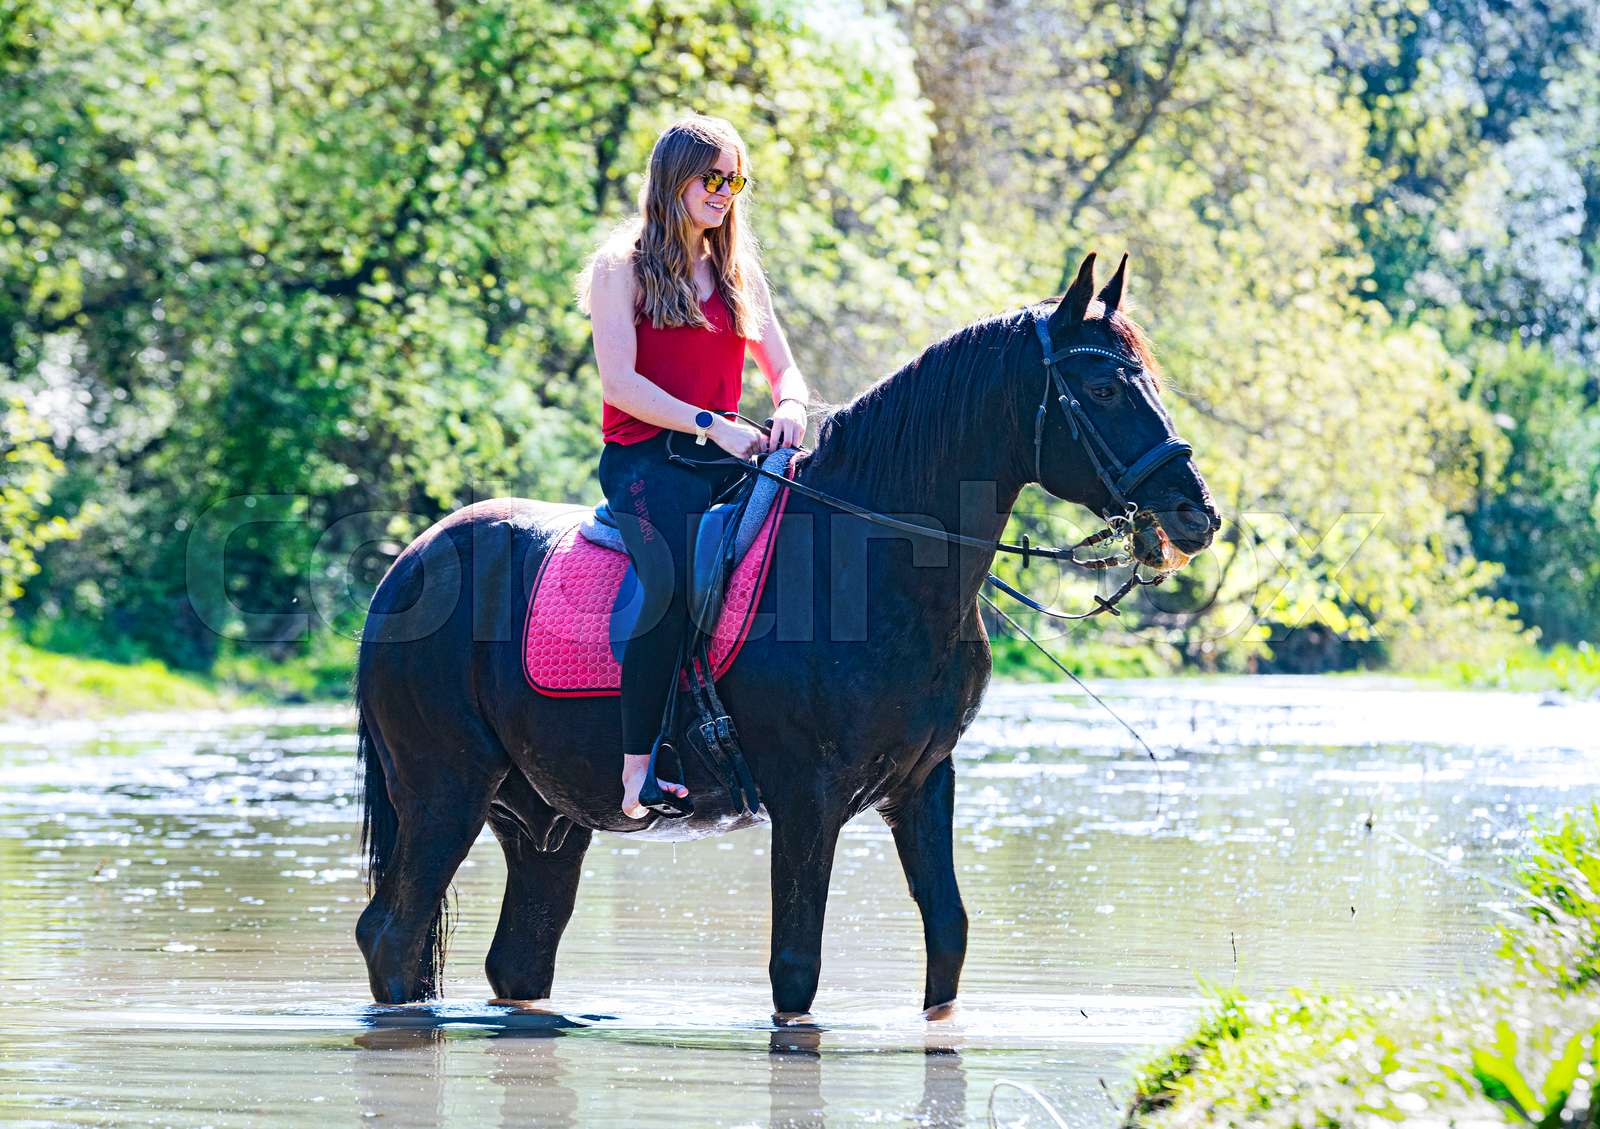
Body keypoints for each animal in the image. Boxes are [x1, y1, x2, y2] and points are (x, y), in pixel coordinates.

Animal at [352, 252, 1220, 1018]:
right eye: (1103, 386)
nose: (1196, 513)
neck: (871, 561)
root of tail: (407, 567)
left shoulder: (923, 783)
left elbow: (948, 938)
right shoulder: (808, 796)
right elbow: (795, 966)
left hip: (543, 823)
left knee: (517, 957)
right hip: (444, 790)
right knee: (391, 933)